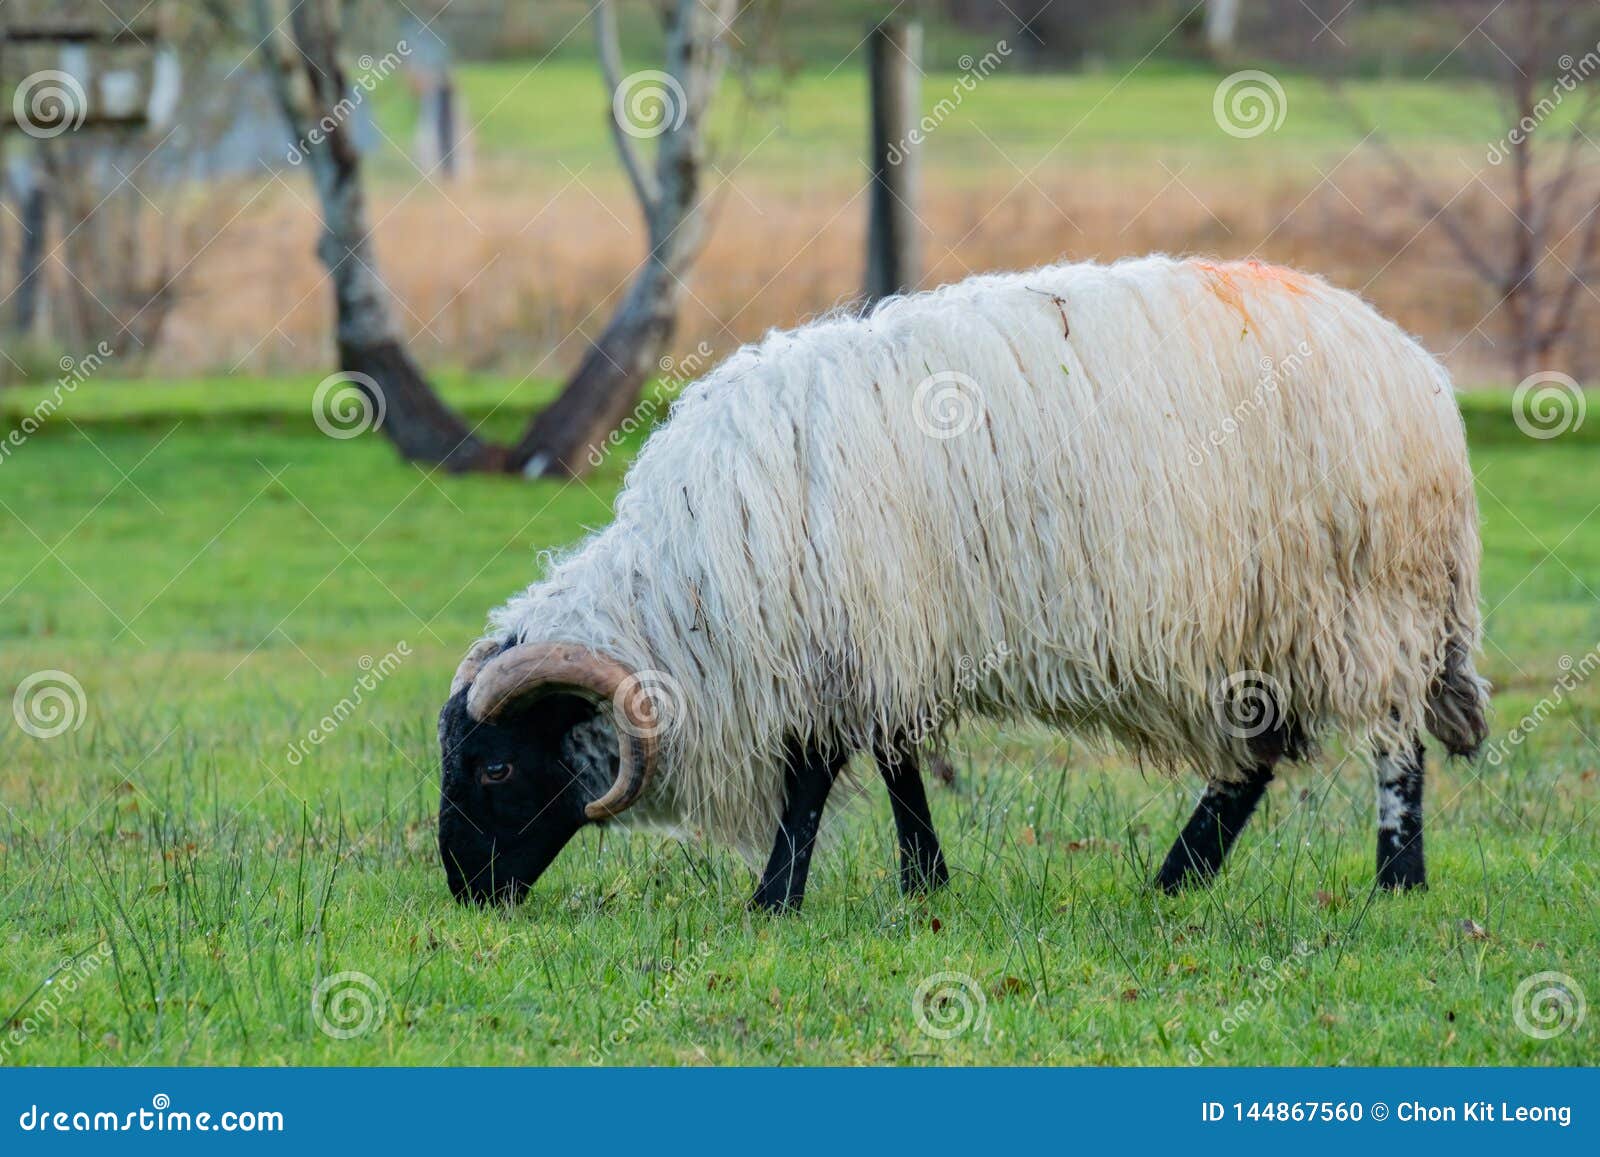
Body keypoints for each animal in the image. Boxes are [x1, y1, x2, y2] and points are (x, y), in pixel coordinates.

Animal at [437, 254, 1488, 911]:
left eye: (494, 766)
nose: (466, 891)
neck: (686, 597)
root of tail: (1419, 373)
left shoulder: (841, 634)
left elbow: (814, 771)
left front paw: (775, 897)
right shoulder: (884, 637)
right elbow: (898, 762)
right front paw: (924, 880)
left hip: (1364, 601)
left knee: (1393, 745)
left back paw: (1396, 880)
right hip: (1280, 622)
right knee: (1257, 760)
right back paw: (1178, 878)